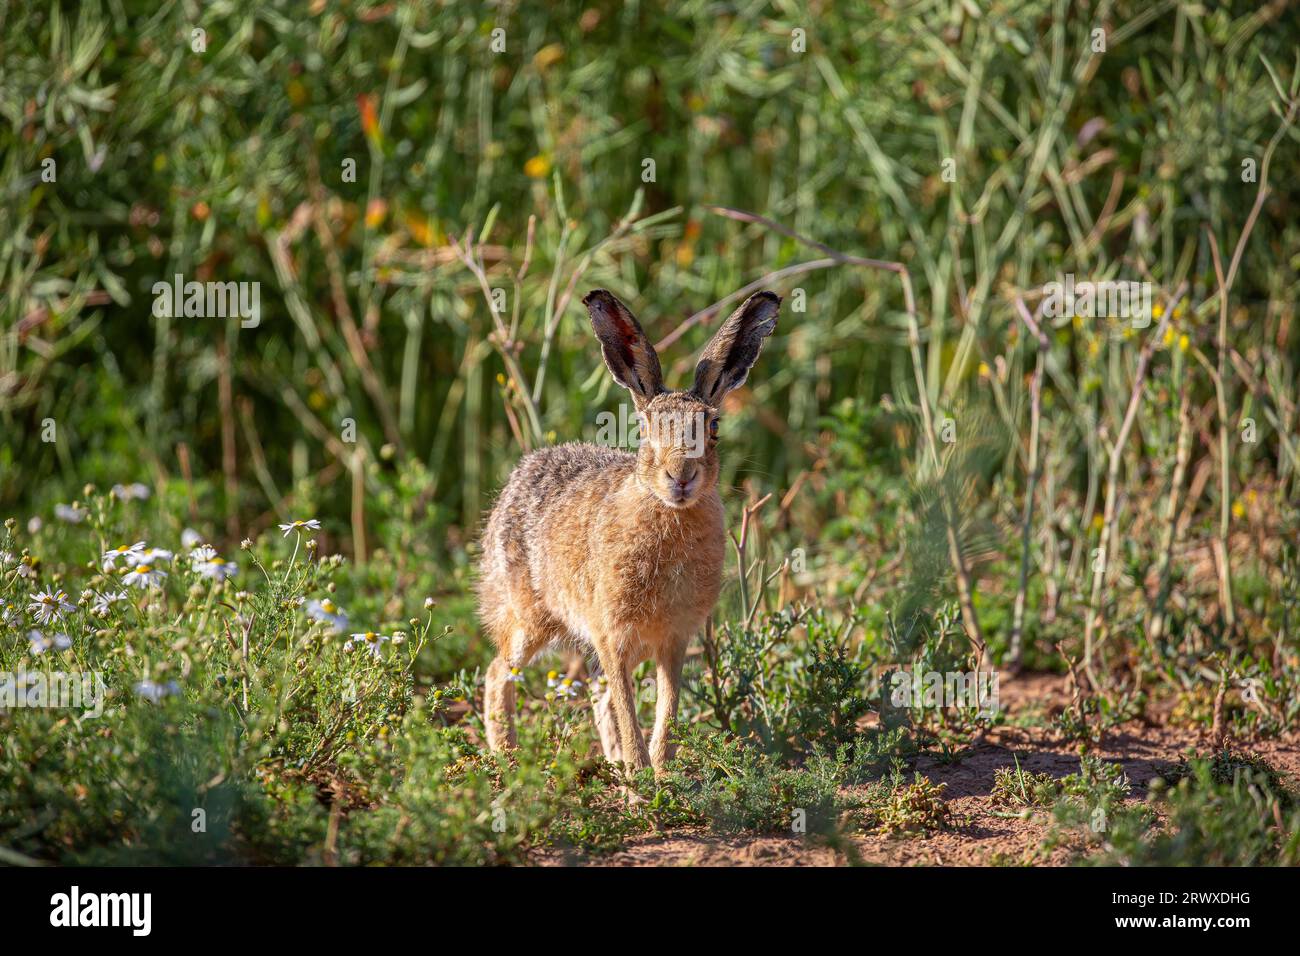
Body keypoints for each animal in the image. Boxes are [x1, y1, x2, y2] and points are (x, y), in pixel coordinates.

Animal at [478, 287, 780, 773]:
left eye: (713, 427)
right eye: (644, 430)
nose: (681, 477)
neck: (667, 512)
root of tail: (517, 478)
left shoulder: (674, 639)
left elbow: (667, 705)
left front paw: (660, 769)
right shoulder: (610, 633)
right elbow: (626, 704)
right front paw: (642, 772)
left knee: (596, 698)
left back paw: (614, 764)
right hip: (530, 617)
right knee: (498, 671)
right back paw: (508, 755)